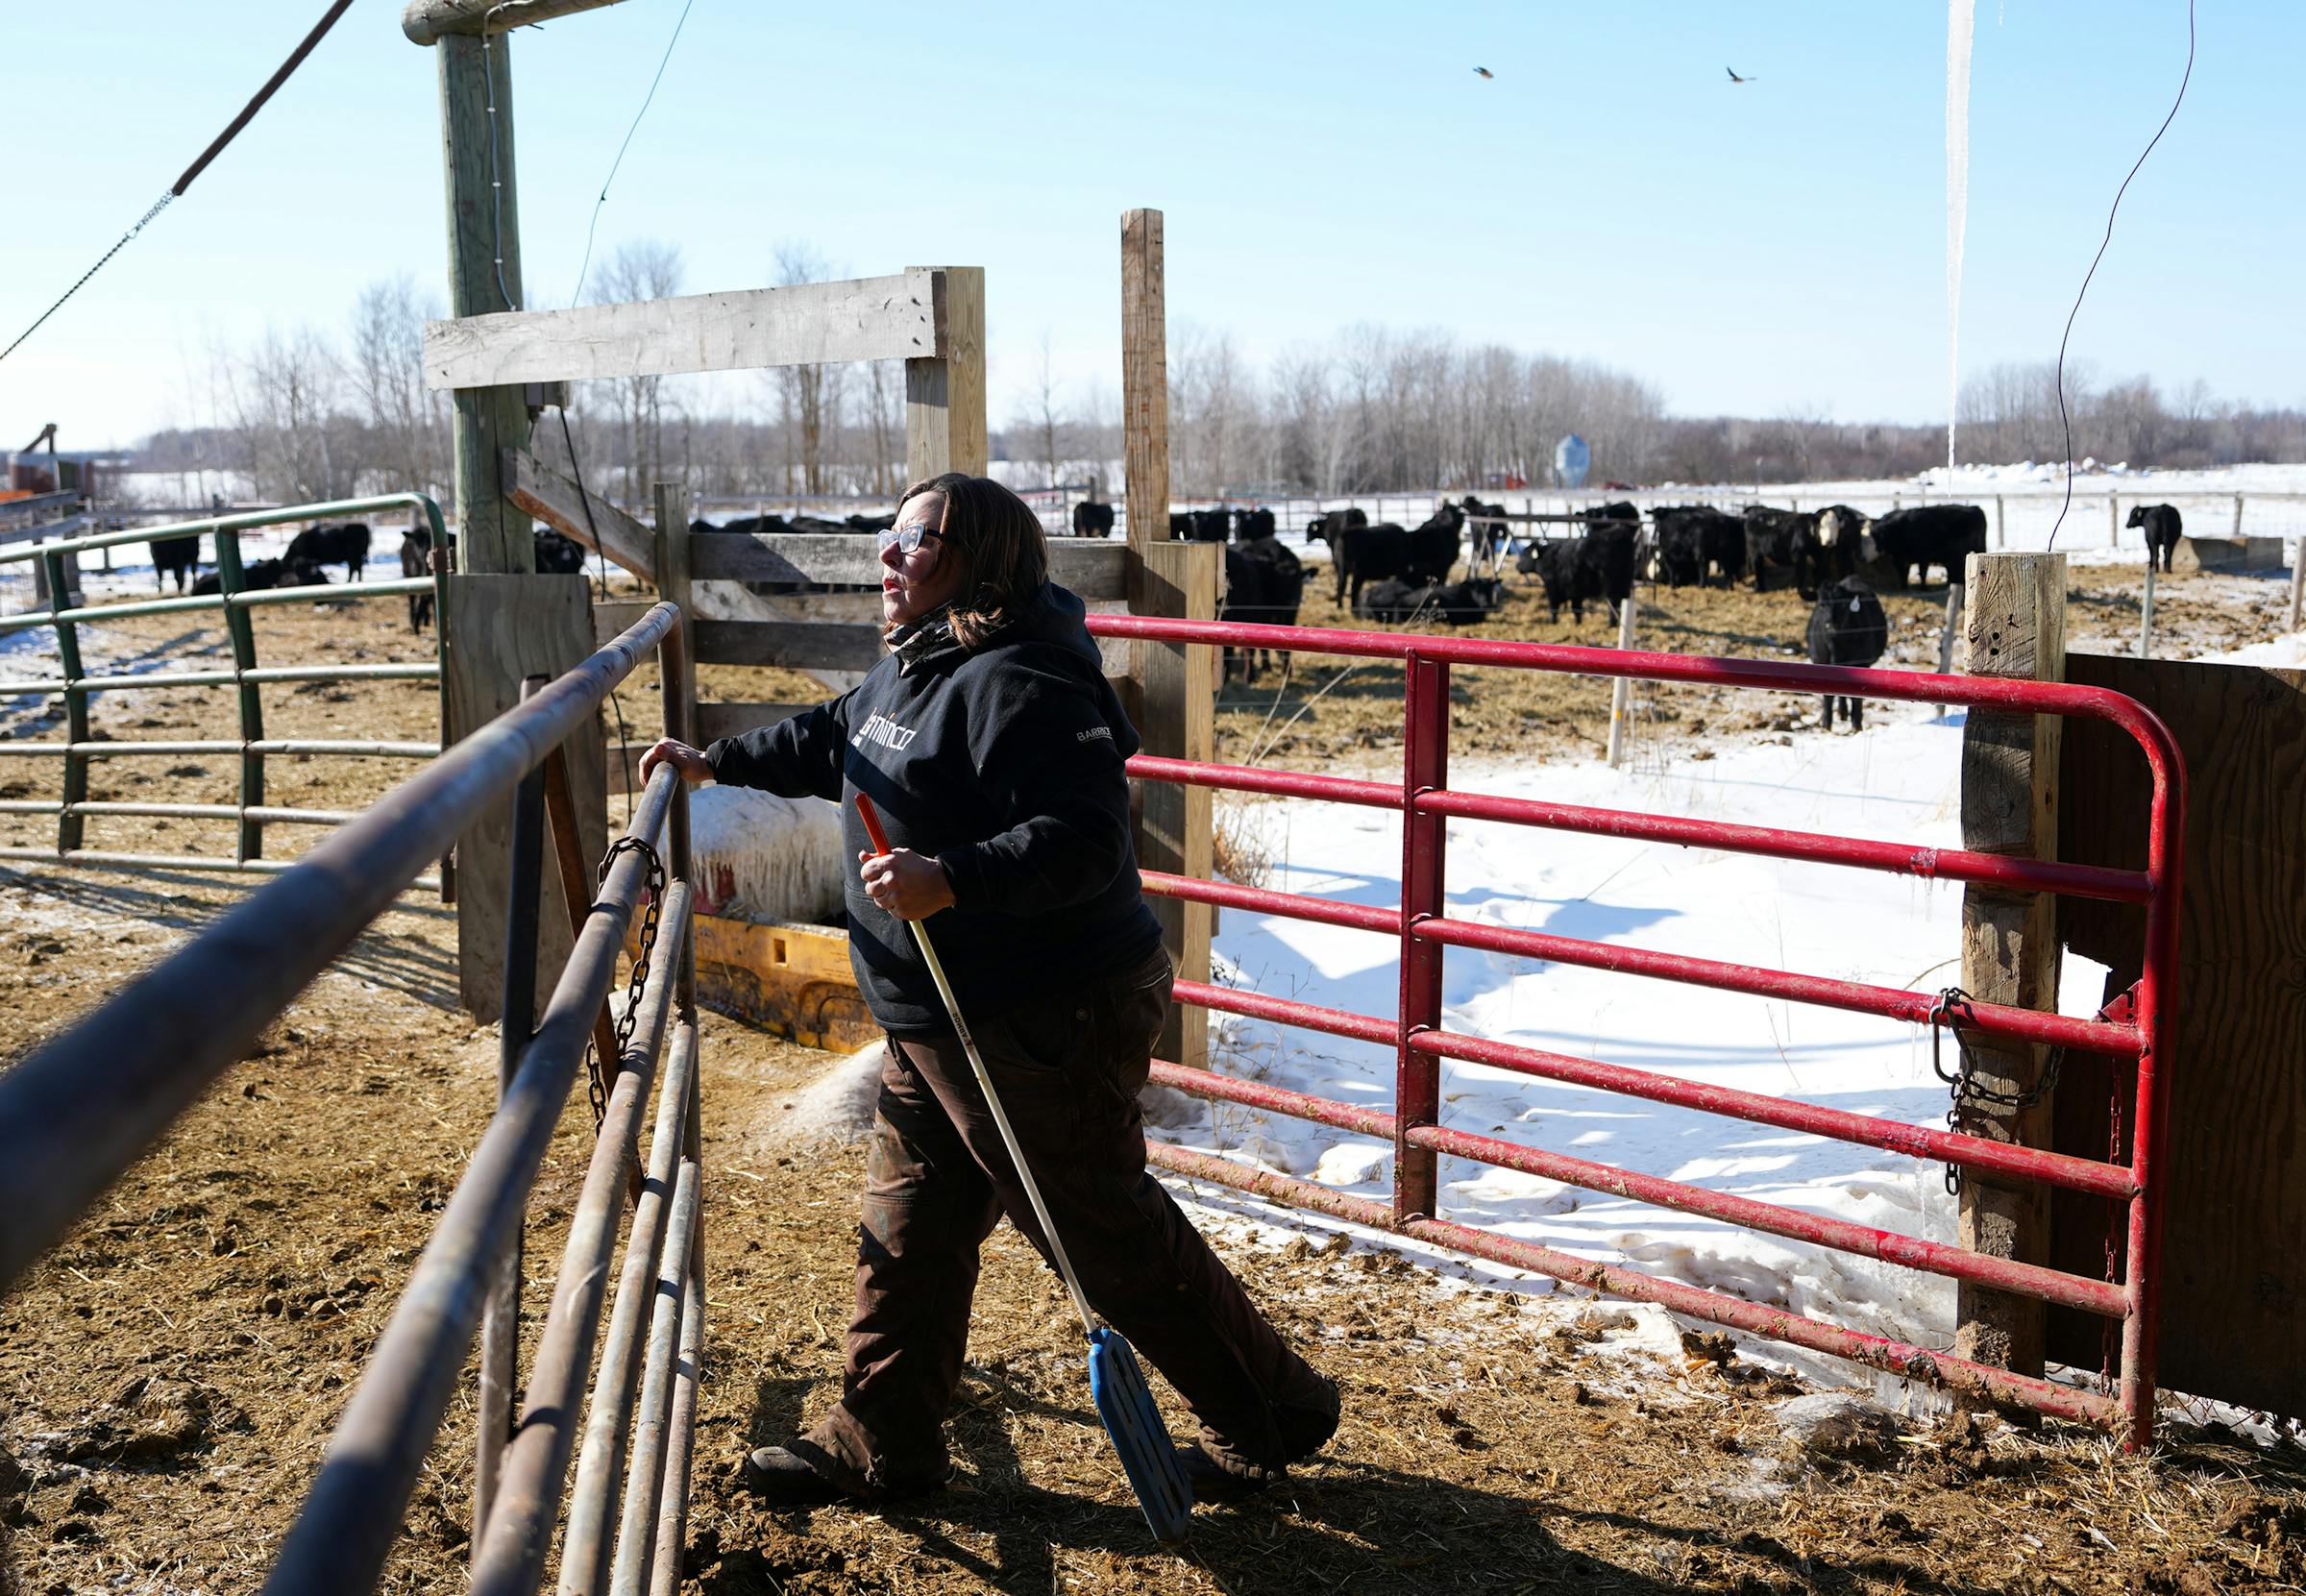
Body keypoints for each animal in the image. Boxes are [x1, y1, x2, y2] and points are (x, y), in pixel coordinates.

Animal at [1806, 577, 1889, 731]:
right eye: (1821, 605)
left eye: (1844, 606)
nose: (1830, 626)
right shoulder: (1821, 661)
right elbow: (1828, 694)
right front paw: (1827, 723)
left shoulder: (1862, 664)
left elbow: (1856, 696)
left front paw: (1856, 724)